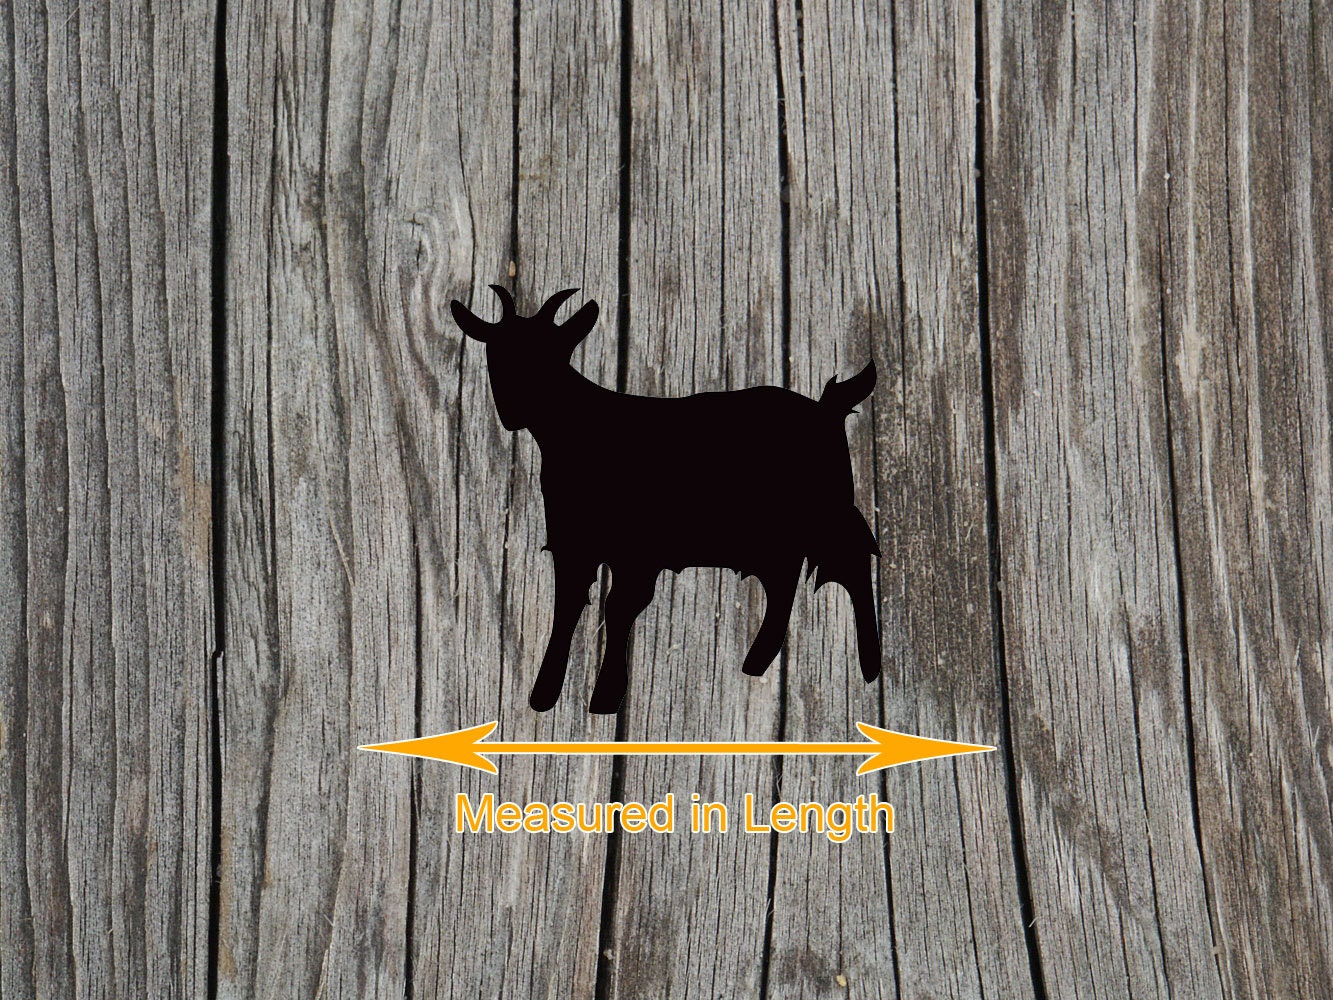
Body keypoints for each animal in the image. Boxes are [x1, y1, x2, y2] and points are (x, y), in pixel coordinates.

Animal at [450, 285, 880, 714]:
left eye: (553, 353)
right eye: (495, 353)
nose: (511, 411)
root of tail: (826, 408)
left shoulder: (637, 550)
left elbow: (618, 607)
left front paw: (606, 696)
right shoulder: (574, 543)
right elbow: (568, 607)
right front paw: (543, 695)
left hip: (826, 510)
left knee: (853, 562)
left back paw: (871, 665)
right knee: (785, 582)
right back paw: (757, 662)